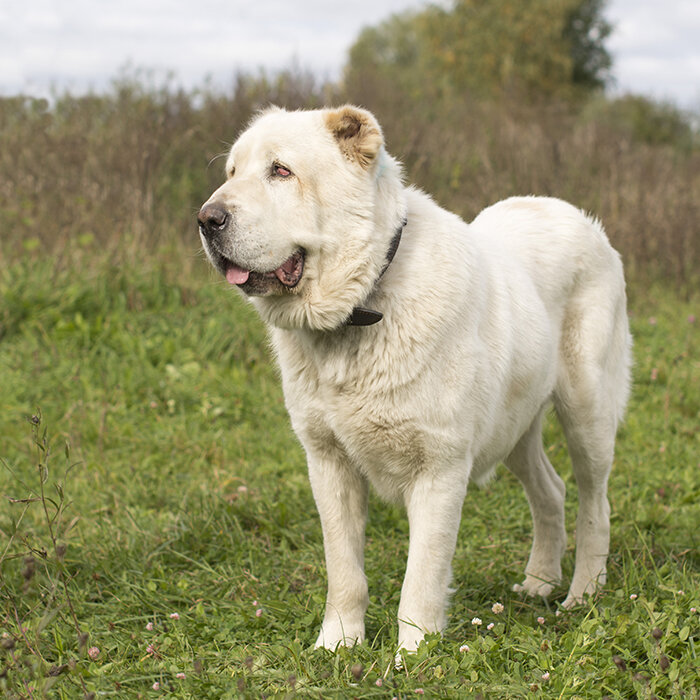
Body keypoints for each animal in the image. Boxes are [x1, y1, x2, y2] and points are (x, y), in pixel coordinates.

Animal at [198, 106, 636, 652]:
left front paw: (414, 656)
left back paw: (584, 594)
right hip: (513, 428)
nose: (206, 219)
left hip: (586, 412)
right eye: (232, 172)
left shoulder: (439, 469)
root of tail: (574, 214)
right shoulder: (328, 463)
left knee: (595, 502)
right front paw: (337, 644)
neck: (364, 306)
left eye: (281, 170)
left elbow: (421, 577)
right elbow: (344, 570)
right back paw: (539, 584)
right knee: (551, 491)